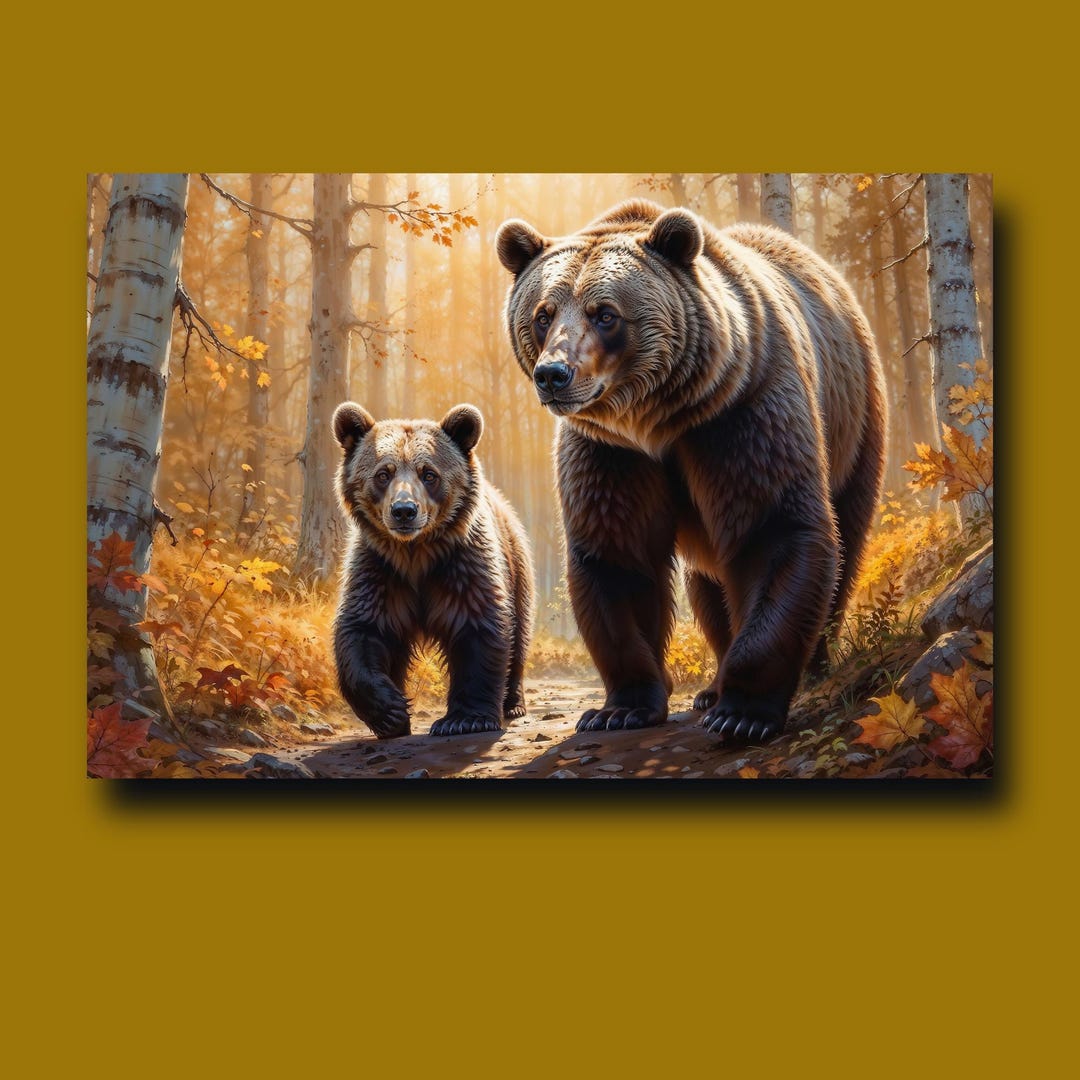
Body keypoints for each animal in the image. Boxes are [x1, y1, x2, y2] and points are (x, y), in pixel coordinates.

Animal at [331, 402, 535, 739]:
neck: (415, 554)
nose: (404, 511)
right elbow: (364, 630)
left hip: (516, 565)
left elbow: (477, 625)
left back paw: (514, 703)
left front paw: (465, 719)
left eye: (429, 474)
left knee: (519, 634)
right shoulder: (380, 570)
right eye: (383, 473)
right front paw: (391, 713)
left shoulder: (461, 565)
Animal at [496, 198, 886, 746]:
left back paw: (811, 666)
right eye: (542, 314)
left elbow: (774, 528)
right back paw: (709, 688)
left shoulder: (740, 413)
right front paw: (621, 708)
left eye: (605, 313)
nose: (553, 374)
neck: (658, 423)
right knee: (709, 584)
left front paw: (744, 711)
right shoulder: (610, 454)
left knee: (845, 538)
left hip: (854, 419)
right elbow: (618, 557)